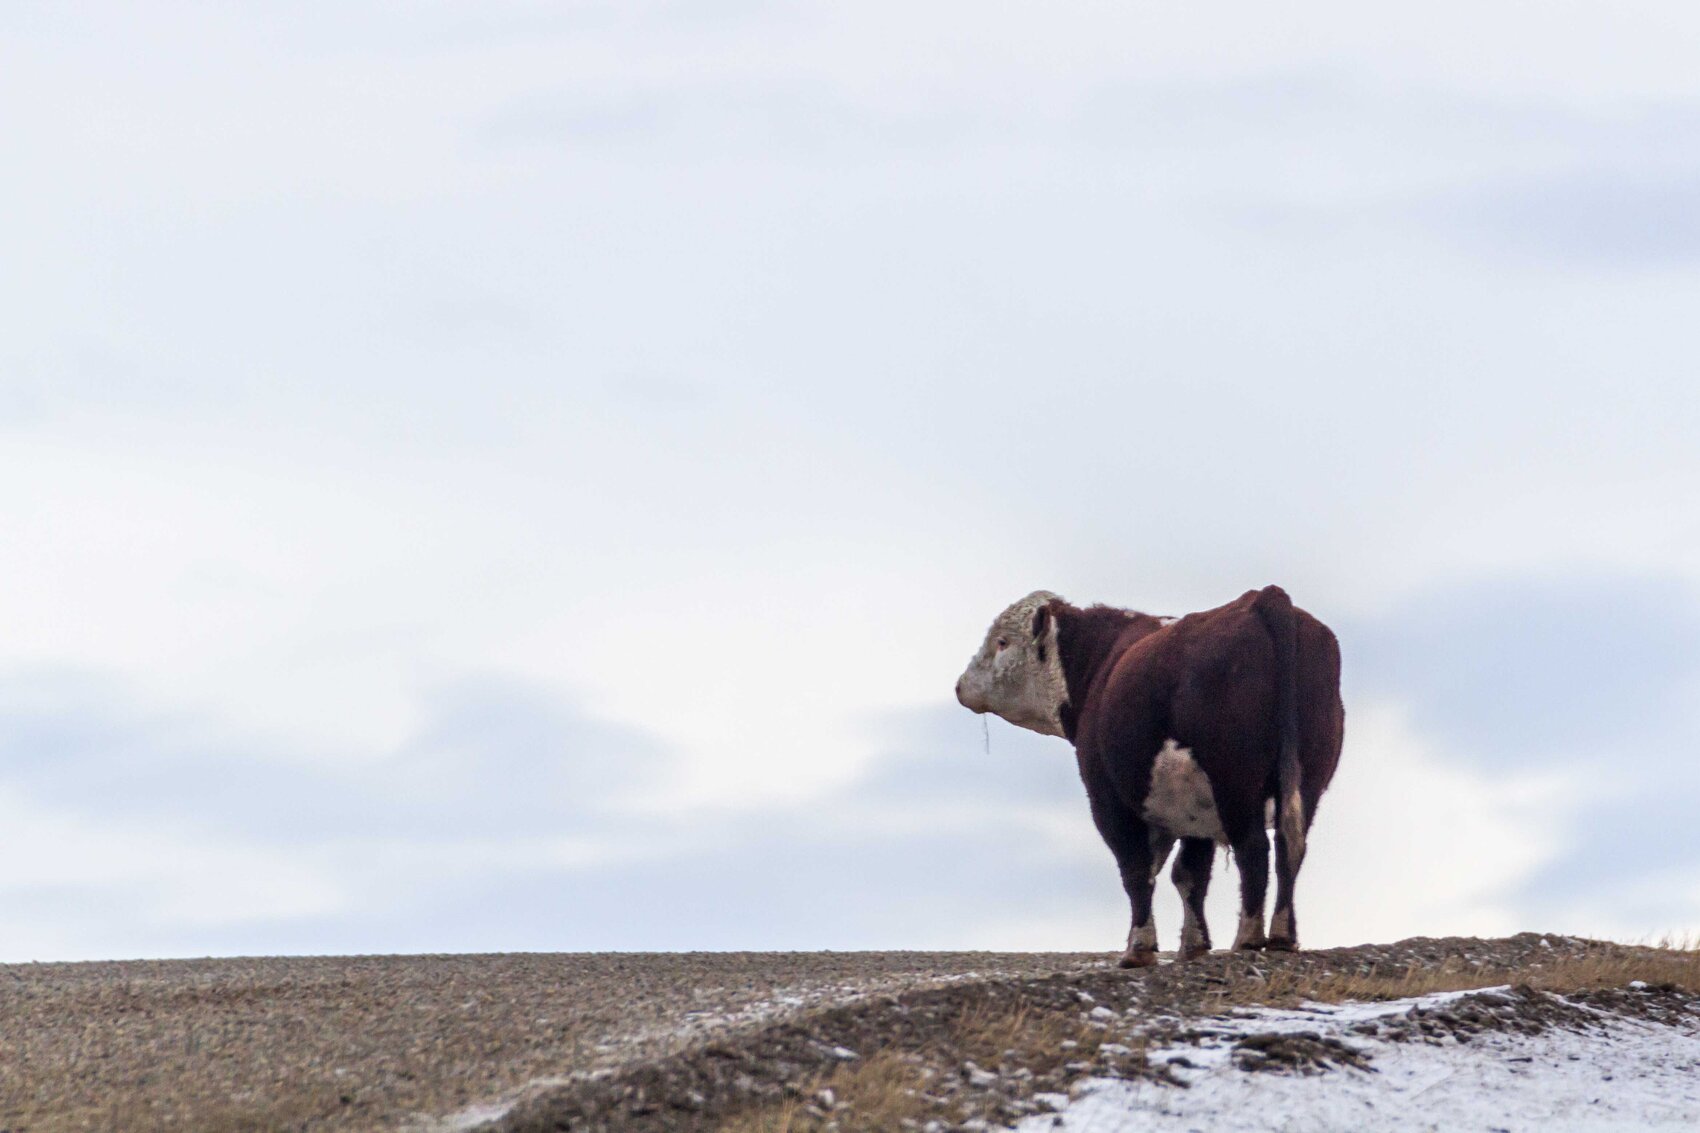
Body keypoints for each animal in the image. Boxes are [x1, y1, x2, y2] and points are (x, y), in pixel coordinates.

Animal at [955, 586, 1343, 968]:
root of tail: (1267, 596)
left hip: (1234, 781)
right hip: (1305, 779)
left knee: (1254, 847)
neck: (1100, 663)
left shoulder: (1106, 799)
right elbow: (1189, 873)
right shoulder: (1194, 813)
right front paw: (1193, 945)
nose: (960, 686)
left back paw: (1247, 938)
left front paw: (1138, 948)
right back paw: (1281, 937)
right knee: (1289, 846)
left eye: (1002, 641)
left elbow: (1136, 868)